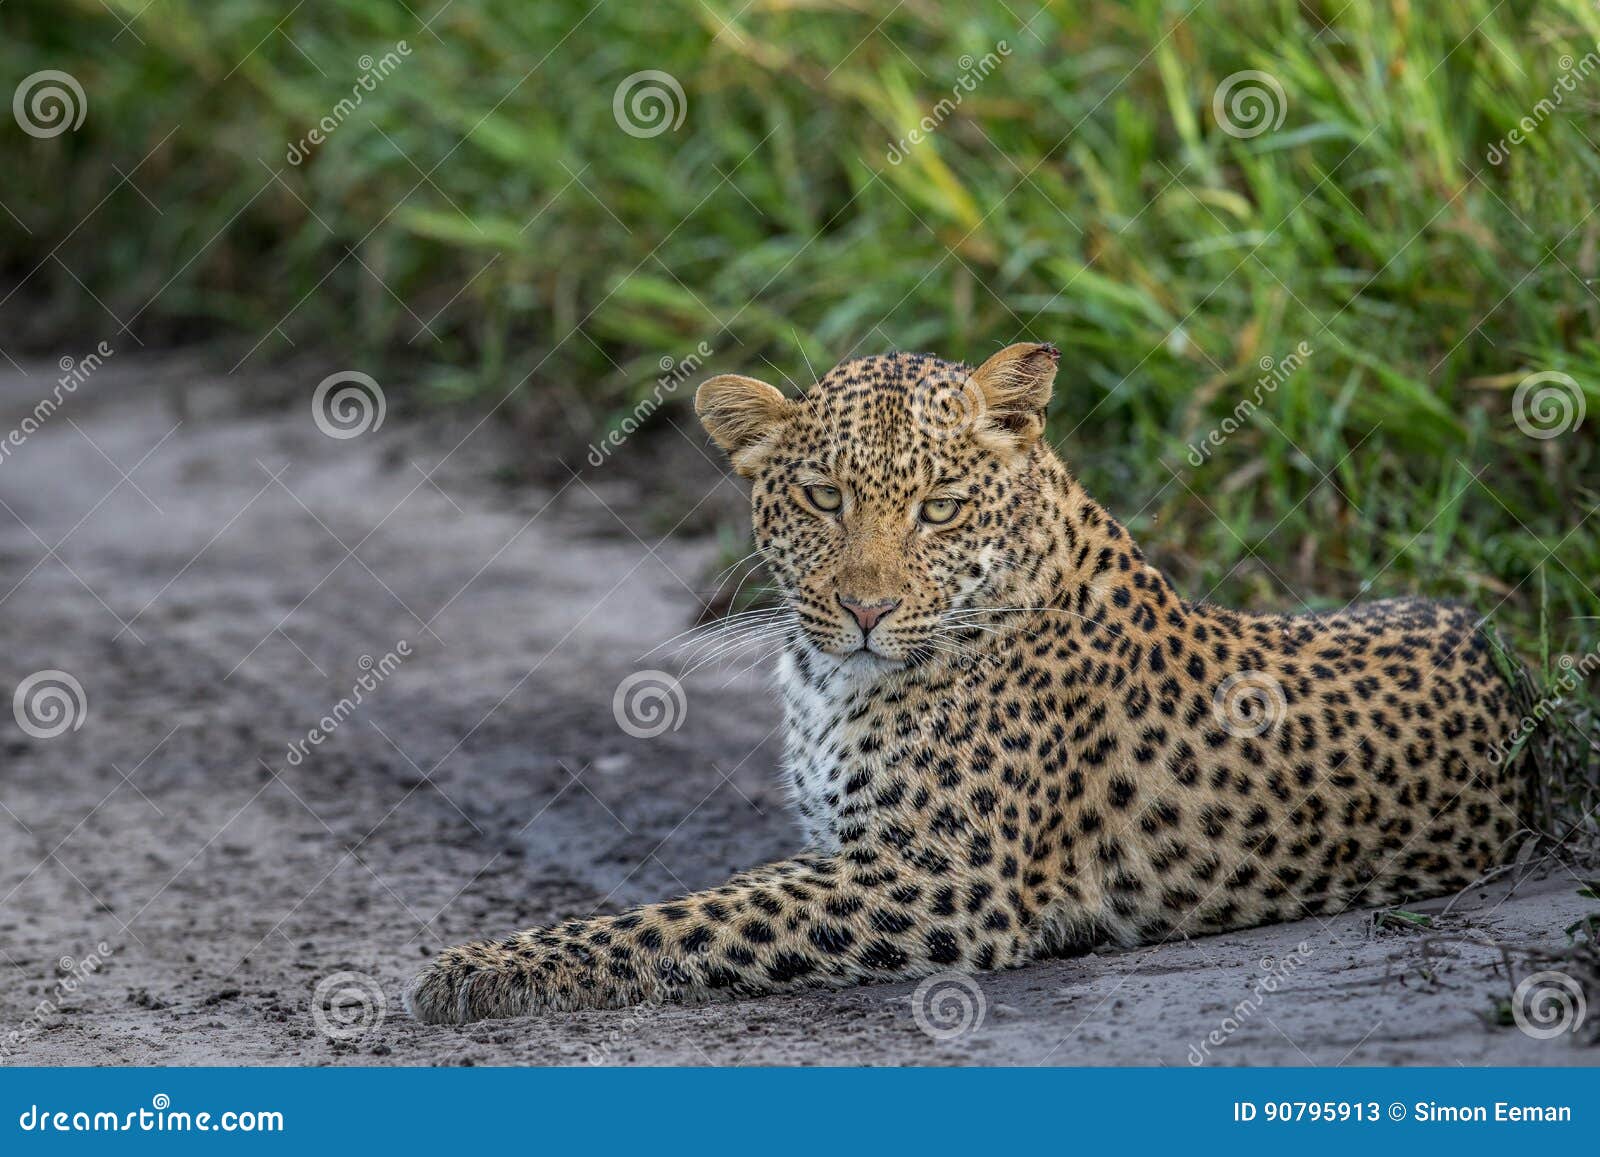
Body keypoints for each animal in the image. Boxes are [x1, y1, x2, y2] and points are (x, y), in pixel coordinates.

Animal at [406, 341, 1529, 1024]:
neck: (825, 681)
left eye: (939, 508)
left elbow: (693, 915)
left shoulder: (942, 874)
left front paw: (480, 967)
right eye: (822, 499)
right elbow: (714, 901)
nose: (863, 608)